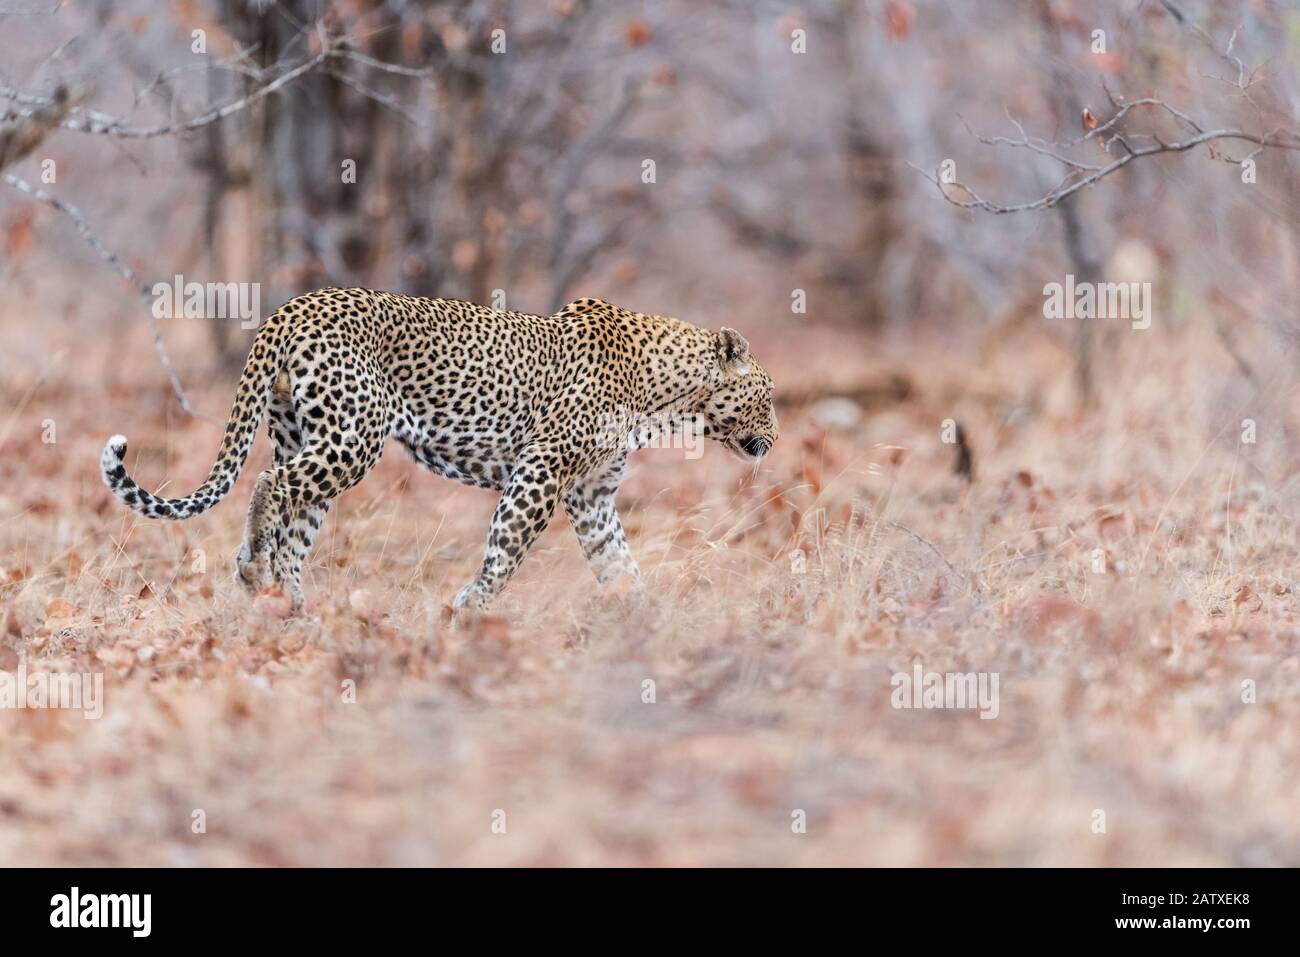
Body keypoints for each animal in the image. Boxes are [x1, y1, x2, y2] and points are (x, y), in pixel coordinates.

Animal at [100, 289, 778, 613]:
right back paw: (253, 571)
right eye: (768, 395)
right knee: (273, 487)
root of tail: (292, 307)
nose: (772, 441)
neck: (668, 398)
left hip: (306, 435)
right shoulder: (541, 472)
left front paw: (646, 620)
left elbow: (620, 565)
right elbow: (507, 550)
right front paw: (470, 608)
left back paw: (291, 605)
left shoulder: (591, 496)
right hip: (353, 439)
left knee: (292, 520)